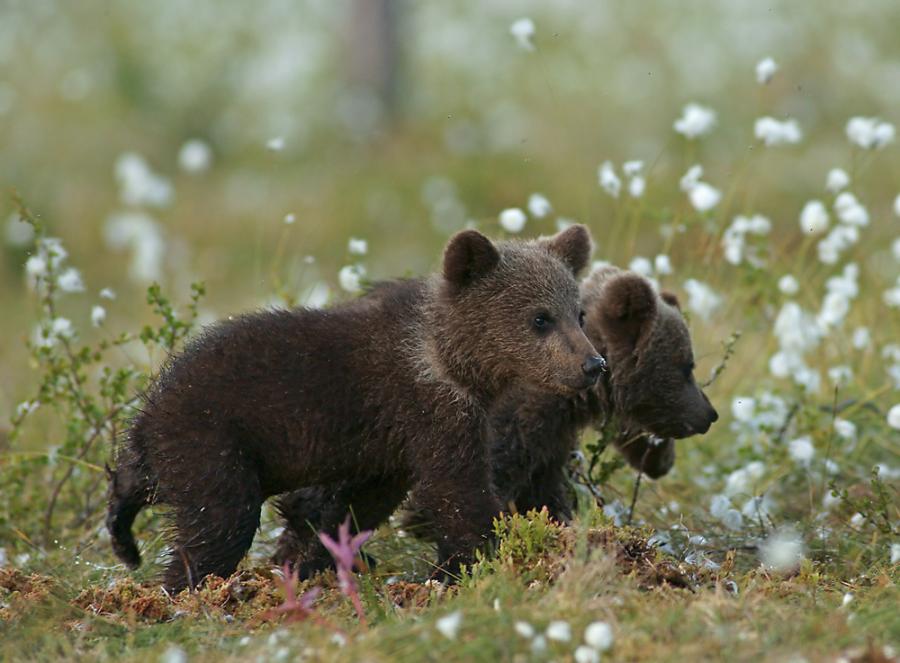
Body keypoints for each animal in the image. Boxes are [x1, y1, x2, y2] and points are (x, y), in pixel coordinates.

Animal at [105, 225, 604, 591]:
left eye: (578, 313)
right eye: (539, 318)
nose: (593, 364)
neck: (450, 360)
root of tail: (155, 403)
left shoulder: (391, 444)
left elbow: (359, 504)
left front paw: (319, 558)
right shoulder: (428, 411)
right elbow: (458, 491)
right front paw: (481, 559)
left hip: (169, 447)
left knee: (137, 481)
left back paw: (123, 535)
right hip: (212, 439)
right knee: (219, 522)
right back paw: (185, 586)